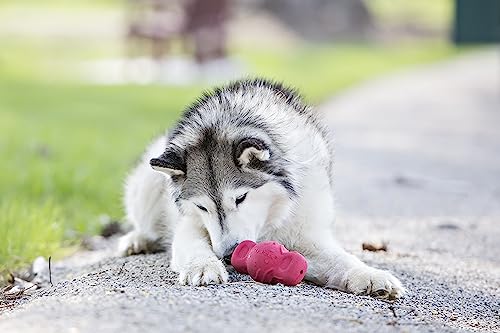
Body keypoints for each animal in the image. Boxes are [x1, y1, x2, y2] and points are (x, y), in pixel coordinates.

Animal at [120, 78, 406, 298]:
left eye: (241, 198)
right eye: (202, 206)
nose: (228, 255)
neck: (272, 216)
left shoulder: (307, 232)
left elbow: (341, 259)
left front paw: (370, 275)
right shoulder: (189, 224)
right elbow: (192, 245)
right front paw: (203, 266)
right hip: (146, 183)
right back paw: (137, 240)